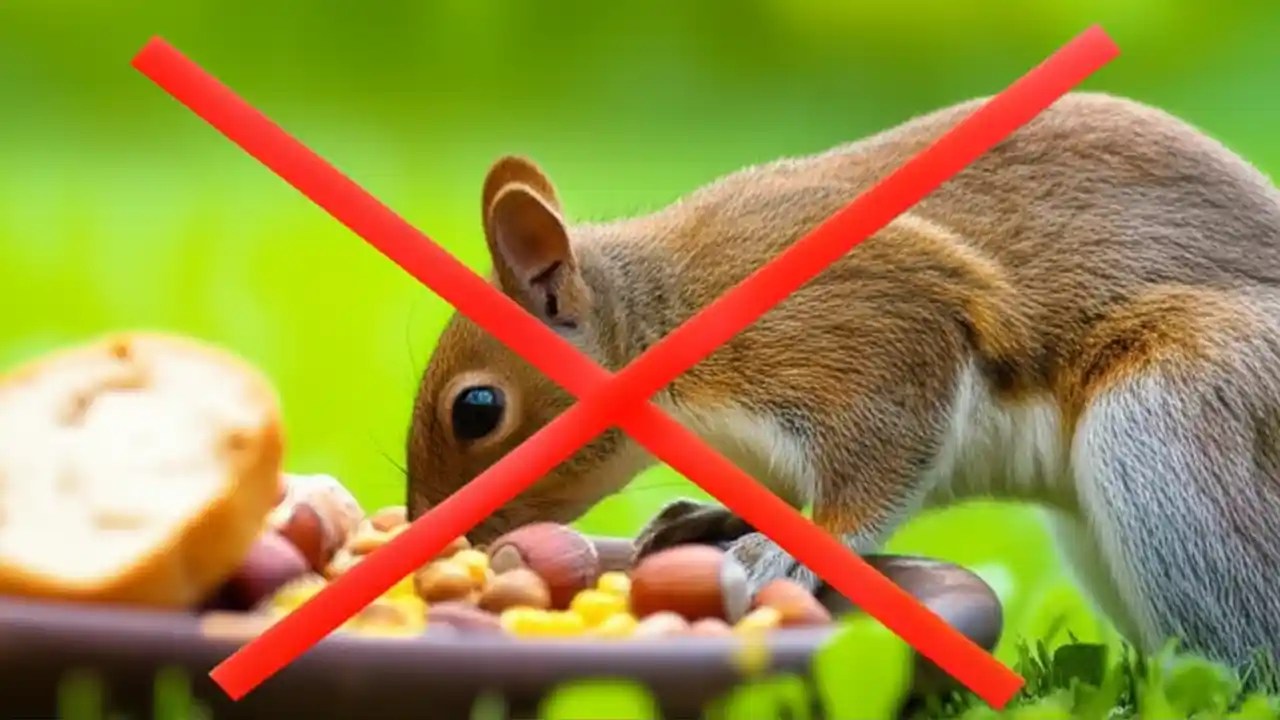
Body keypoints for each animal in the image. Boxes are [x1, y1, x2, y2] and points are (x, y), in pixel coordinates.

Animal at [406, 91, 1280, 671]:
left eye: (477, 408)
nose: (431, 532)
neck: (670, 319)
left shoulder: (865, 331)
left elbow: (875, 469)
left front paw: (781, 552)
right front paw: (711, 518)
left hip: (1174, 428)